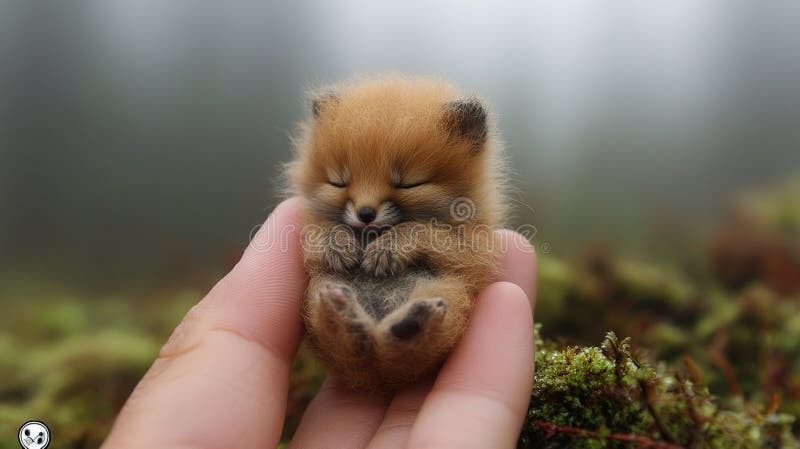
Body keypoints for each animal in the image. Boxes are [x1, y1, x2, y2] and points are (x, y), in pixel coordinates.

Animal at [285, 75, 508, 391]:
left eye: (410, 183)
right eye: (339, 182)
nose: (365, 213)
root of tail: (379, 377)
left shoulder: (470, 248)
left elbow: (420, 228)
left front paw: (386, 250)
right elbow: (319, 230)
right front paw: (337, 244)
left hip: (445, 293)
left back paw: (407, 324)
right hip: (322, 290)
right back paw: (347, 316)